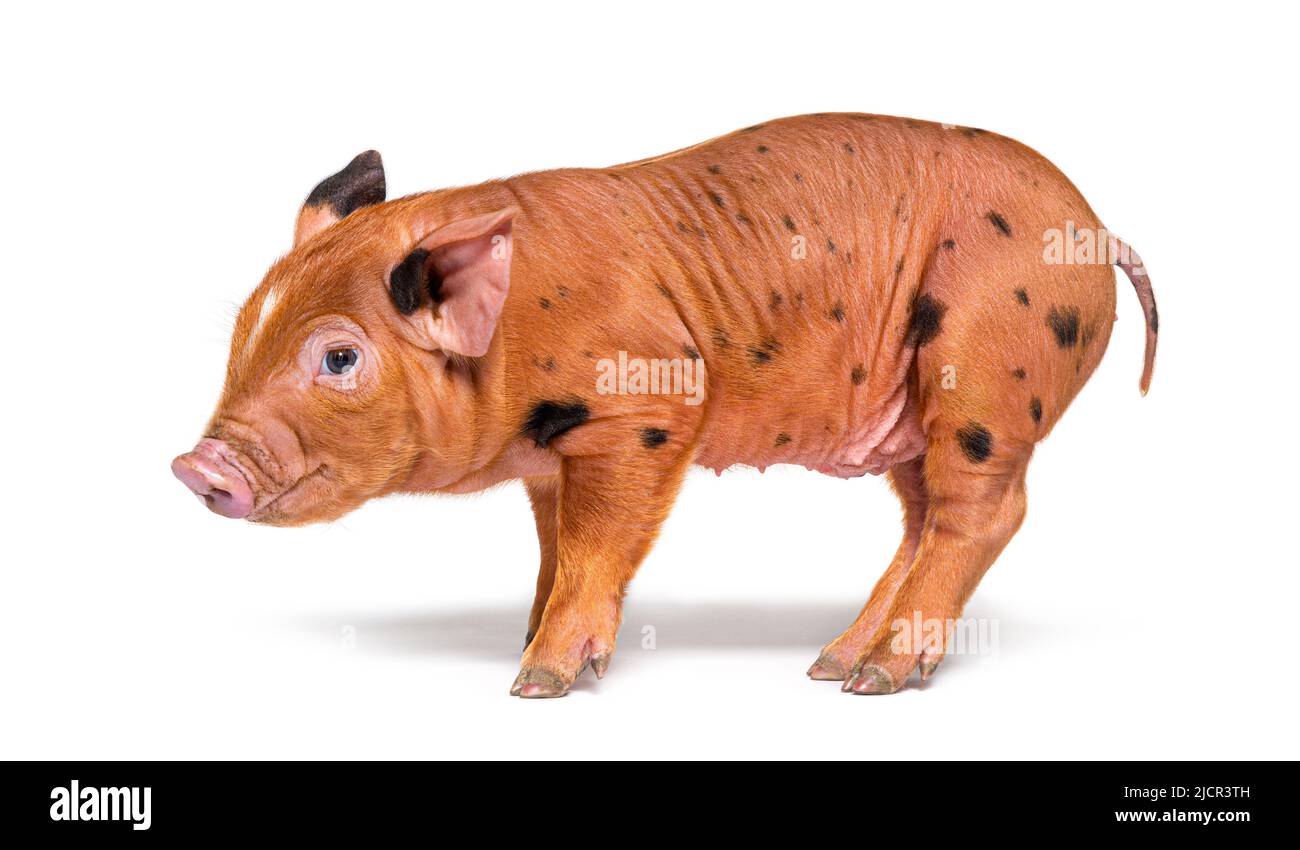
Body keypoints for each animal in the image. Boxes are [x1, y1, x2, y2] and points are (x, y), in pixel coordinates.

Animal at [173, 114, 1158, 698]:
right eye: (244, 330)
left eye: (339, 356)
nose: (194, 465)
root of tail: (1099, 230)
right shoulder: (551, 459)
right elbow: (557, 544)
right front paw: (524, 639)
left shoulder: (648, 405)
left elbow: (598, 546)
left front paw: (535, 683)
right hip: (912, 416)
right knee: (922, 522)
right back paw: (828, 665)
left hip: (986, 380)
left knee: (984, 512)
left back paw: (874, 681)